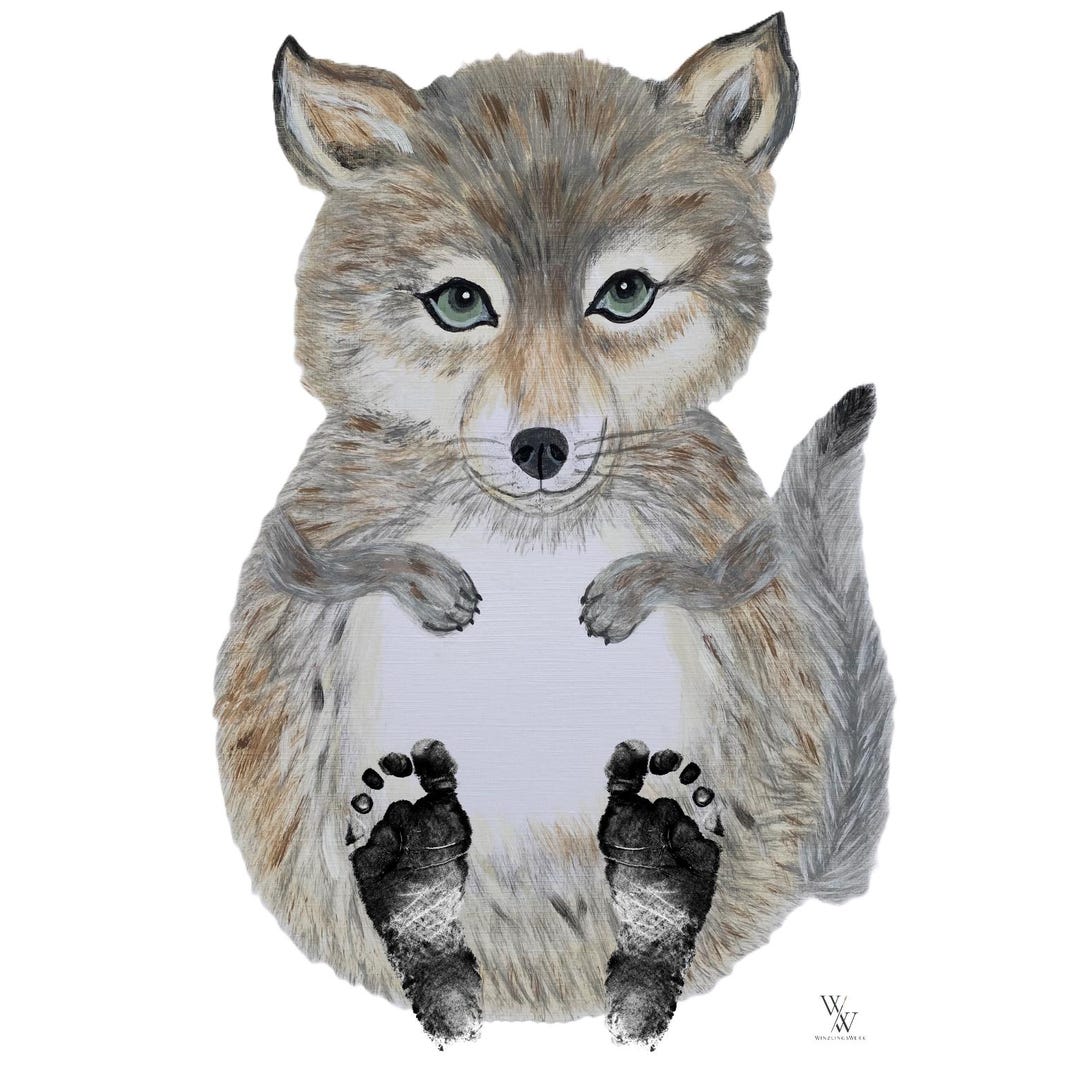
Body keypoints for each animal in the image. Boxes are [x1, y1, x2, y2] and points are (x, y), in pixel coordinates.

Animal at [216, 12, 893, 1047]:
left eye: (626, 294)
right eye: (460, 302)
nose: (540, 448)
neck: (526, 531)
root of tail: (541, 995)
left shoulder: (733, 539)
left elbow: (716, 571)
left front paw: (630, 588)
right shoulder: (304, 534)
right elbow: (333, 562)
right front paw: (425, 579)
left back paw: (657, 868)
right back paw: (415, 870)